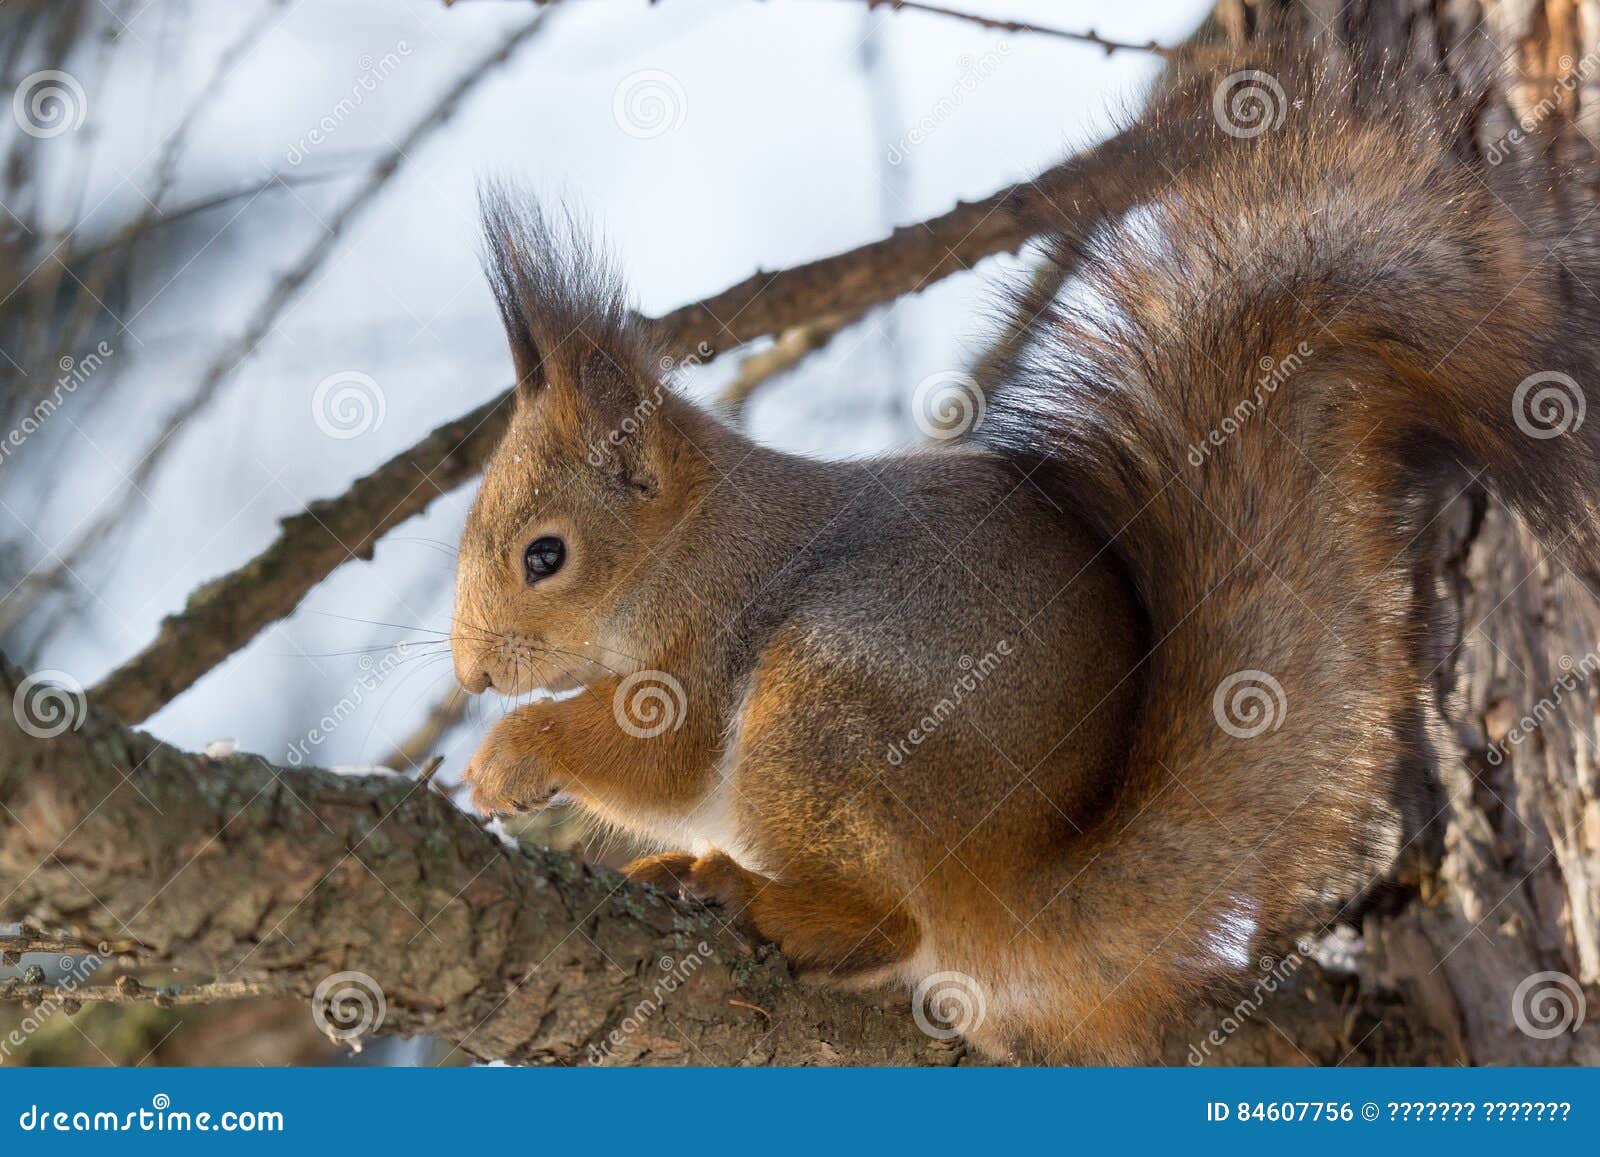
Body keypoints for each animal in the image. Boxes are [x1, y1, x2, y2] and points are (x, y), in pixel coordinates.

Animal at [449, 41, 1600, 1062]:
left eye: (544, 556)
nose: (468, 674)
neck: (682, 545)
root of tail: (1012, 891)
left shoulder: (710, 630)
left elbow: (661, 752)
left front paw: (512, 755)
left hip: (821, 719)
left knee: (887, 924)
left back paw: (759, 897)